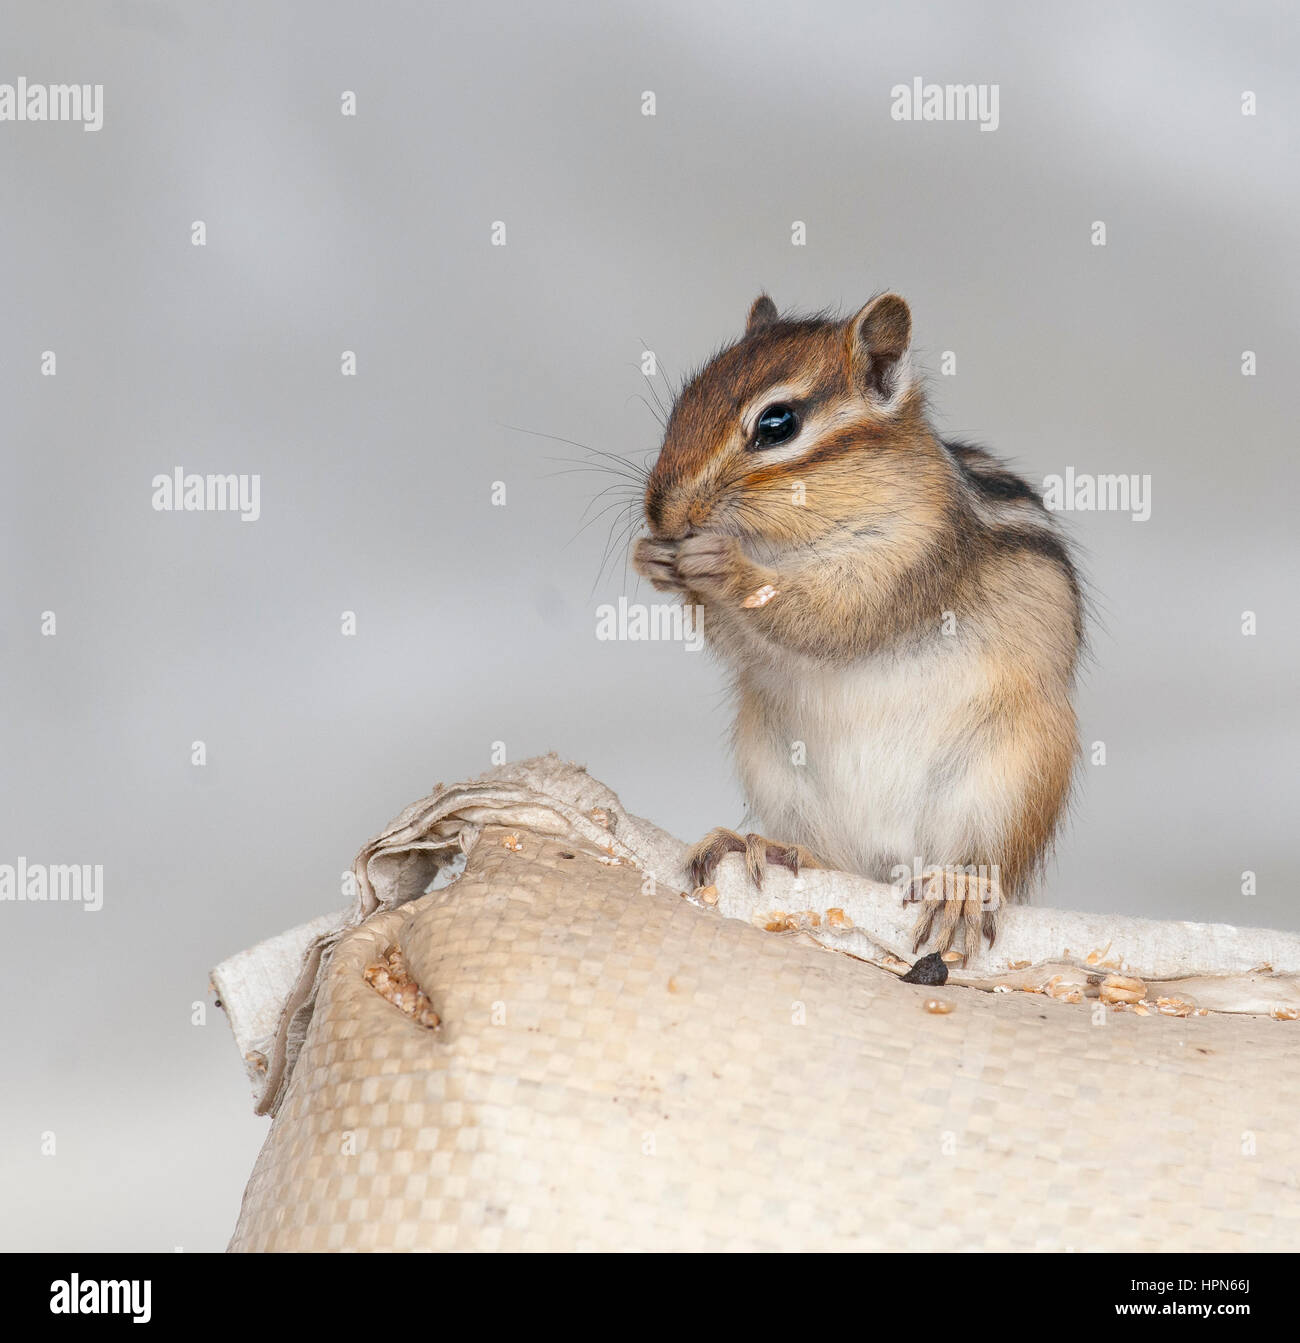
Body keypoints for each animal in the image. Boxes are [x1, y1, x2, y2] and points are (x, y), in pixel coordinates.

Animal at [632, 293, 1083, 958]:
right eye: (684, 402)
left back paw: (959, 888)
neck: (790, 544)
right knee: (835, 864)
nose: (660, 514)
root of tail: (892, 863)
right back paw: (765, 846)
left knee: (985, 860)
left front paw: (723, 563)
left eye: (777, 424)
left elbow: (831, 618)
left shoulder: (909, 560)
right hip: (783, 780)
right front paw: (655, 560)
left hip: (1010, 779)